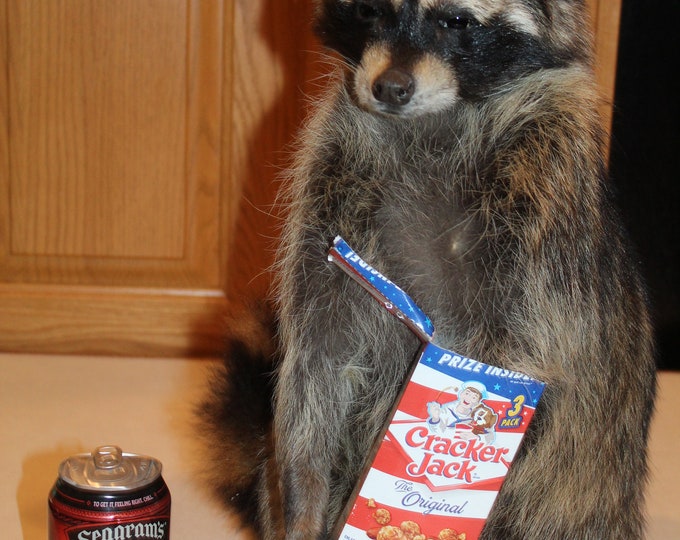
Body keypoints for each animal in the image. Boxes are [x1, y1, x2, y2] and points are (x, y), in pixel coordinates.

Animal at [200, 0, 657, 538]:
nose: (391, 87)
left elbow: (535, 355)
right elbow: (318, 354)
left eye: (456, 22)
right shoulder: (331, 191)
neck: (433, 122)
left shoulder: (543, 206)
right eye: (370, 13)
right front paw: (301, 490)